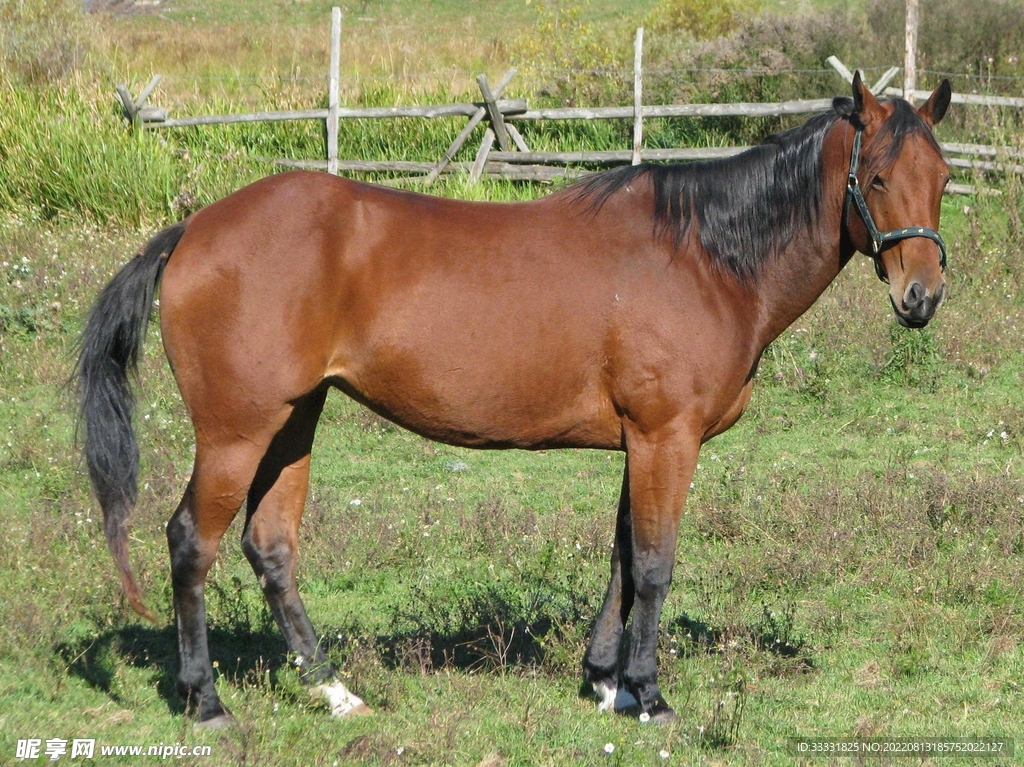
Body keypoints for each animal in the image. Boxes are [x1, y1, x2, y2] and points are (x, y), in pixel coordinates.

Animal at [75, 74, 951, 727]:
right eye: (876, 177)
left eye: (941, 180)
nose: (922, 296)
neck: (703, 255)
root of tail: (192, 232)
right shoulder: (668, 436)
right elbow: (655, 563)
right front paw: (650, 694)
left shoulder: (640, 440)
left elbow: (622, 555)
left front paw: (605, 679)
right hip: (237, 431)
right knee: (192, 541)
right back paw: (206, 702)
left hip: (295, 420)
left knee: (271, 546)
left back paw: (333, 688)